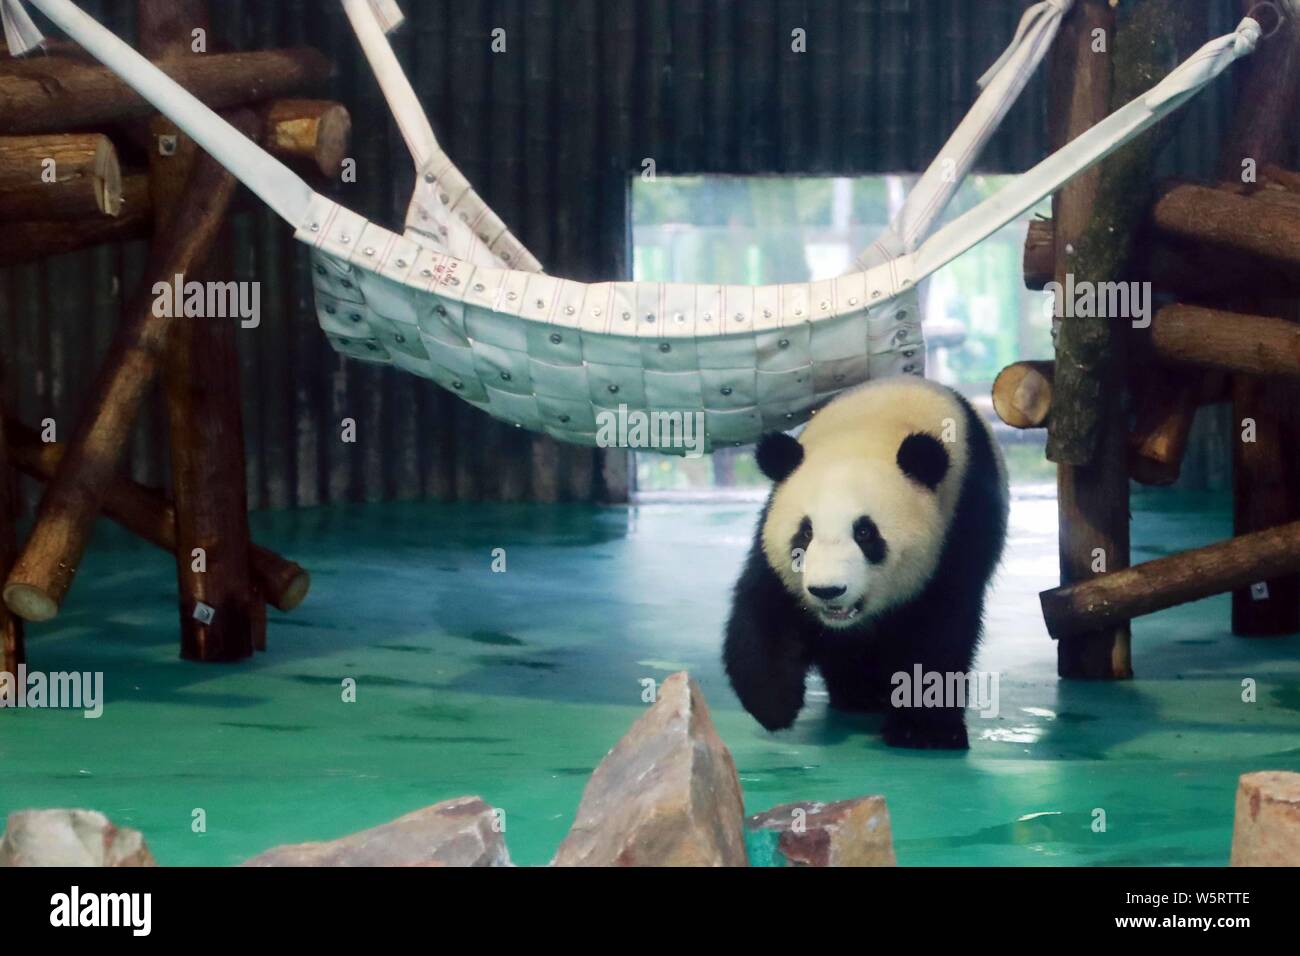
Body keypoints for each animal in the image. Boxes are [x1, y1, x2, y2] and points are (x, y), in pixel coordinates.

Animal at [723, 377, 1009, 749]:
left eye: (865, 533)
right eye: (805, 533)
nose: (827, 590)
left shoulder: (962, 520)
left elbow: (943, 624)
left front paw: (923, 730)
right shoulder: (774, 528)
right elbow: (765, 604)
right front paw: (774, 704)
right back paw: (858, 694)